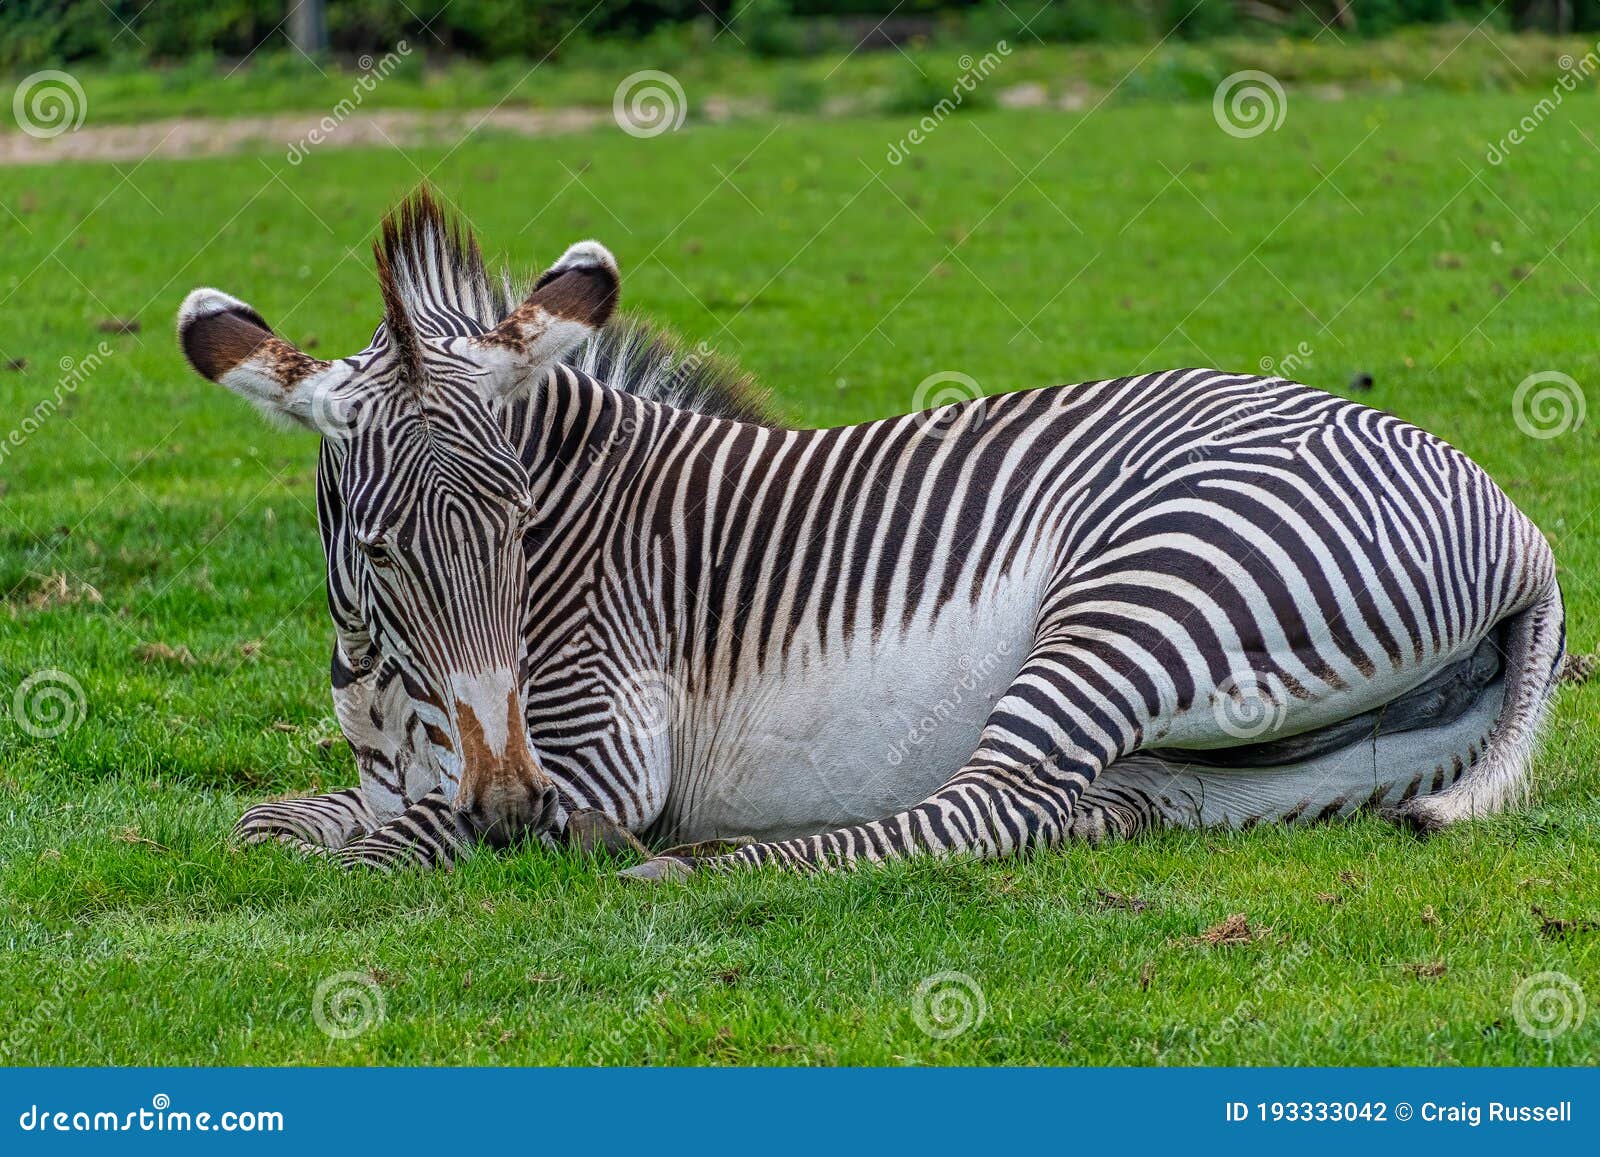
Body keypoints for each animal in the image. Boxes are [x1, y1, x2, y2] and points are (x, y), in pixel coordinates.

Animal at [175, 188, 1565, 876]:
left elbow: (365, 848)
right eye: (376, 545)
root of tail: (1523, 528)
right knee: (1102, 805)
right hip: (1325, 759)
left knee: (986, 808)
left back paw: (705, 865)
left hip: (1145, 590)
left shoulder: (601, 747)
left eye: (522, 526)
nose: (516, 807)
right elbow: (275, 824)